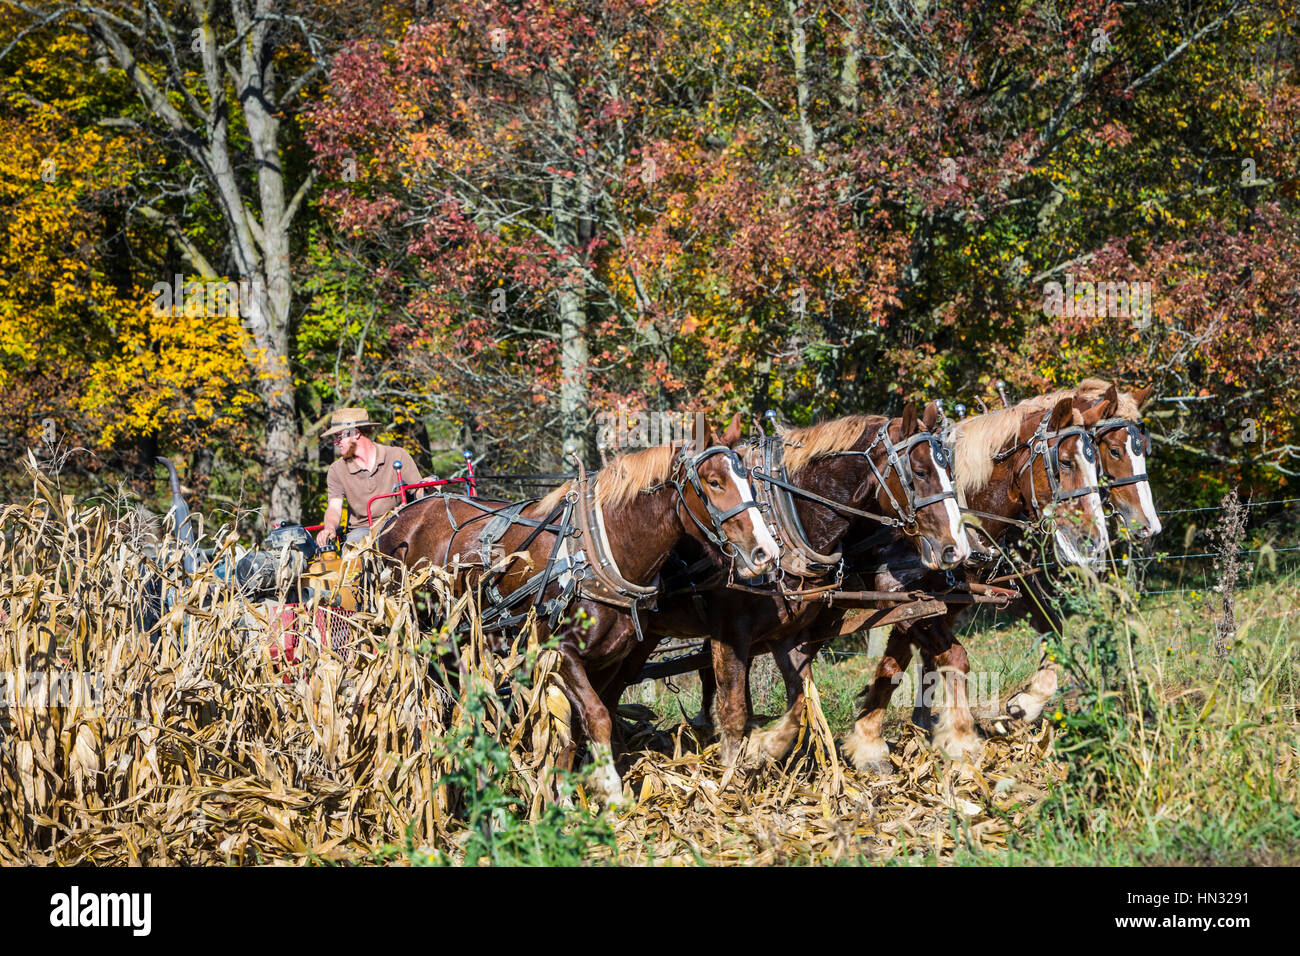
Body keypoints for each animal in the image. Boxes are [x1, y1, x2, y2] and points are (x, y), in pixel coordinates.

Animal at [374, 415, 782, 802]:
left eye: (750, 480)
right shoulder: (556, 652)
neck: (599, 554)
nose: (766, 552)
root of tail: (402, 516)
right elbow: (598, 717)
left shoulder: (608, 659)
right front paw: (610, 790)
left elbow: (576, 725)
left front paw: (566, 794)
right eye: (714, 482)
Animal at [606, 401, 970, 765]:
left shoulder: (791, 635)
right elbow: (735, 709)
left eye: (951, 472)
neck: (784, 521)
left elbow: (801, 704)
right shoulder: (728, 633)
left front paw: (767, 746)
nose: (956, 548)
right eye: (920, 472)